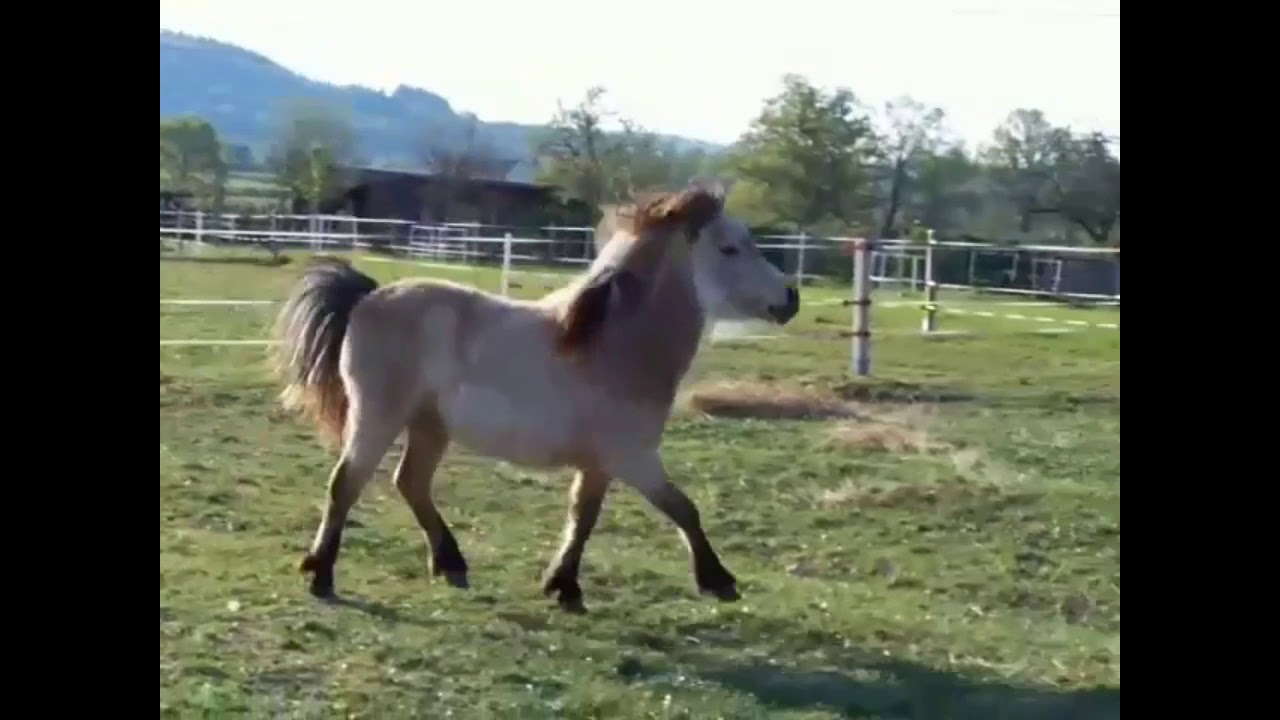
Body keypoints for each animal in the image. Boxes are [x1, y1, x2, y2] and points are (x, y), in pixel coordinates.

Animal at [271, 183, 801, 613]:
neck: (615, 345)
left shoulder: (599, 463)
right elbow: (683, 509)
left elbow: (583, 517)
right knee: (346, 484)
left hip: (429, 425)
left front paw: (563, 586)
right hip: (378, 416)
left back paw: (451, 564)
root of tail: (367, 297)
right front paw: (718, 580)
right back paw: (321, 575)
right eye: (730, 248)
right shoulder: (633, 458)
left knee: (411, 483)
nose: (791, 299)